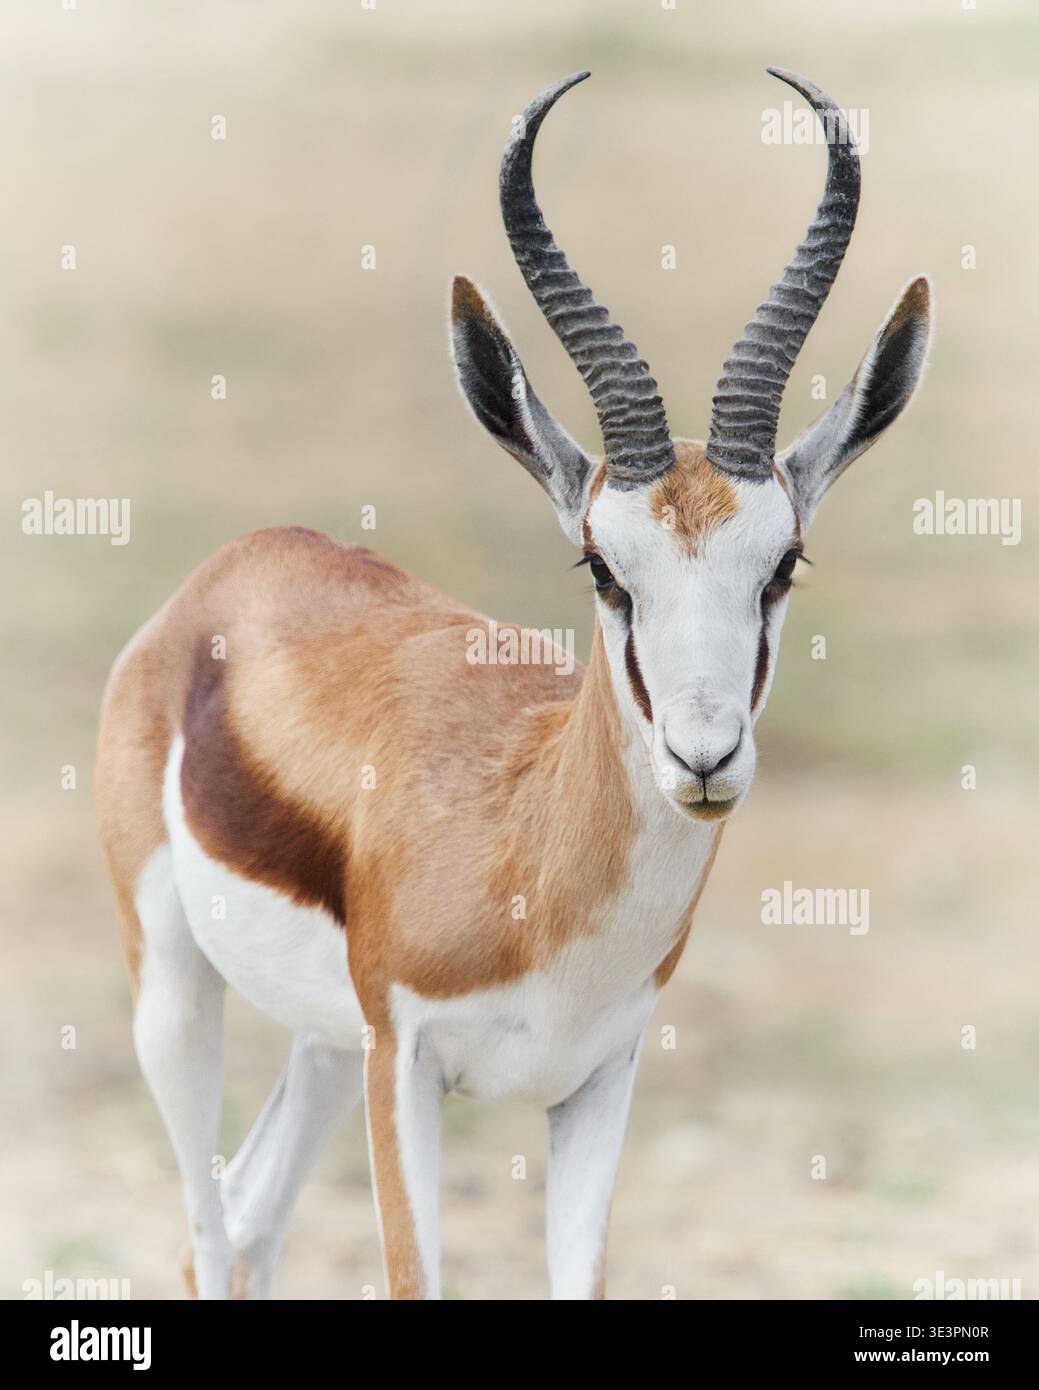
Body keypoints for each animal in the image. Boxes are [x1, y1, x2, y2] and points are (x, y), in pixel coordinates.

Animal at [96, 68, 932, 1301]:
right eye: (602, 567)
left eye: (783, 563)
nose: (703, 757)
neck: (529, 857)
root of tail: (236, 568)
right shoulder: (403, 1066)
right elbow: (412, 1277)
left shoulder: (598, 1078)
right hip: (177, 994)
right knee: (207, 1233)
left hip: (321, 1042)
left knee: (249, 1215)